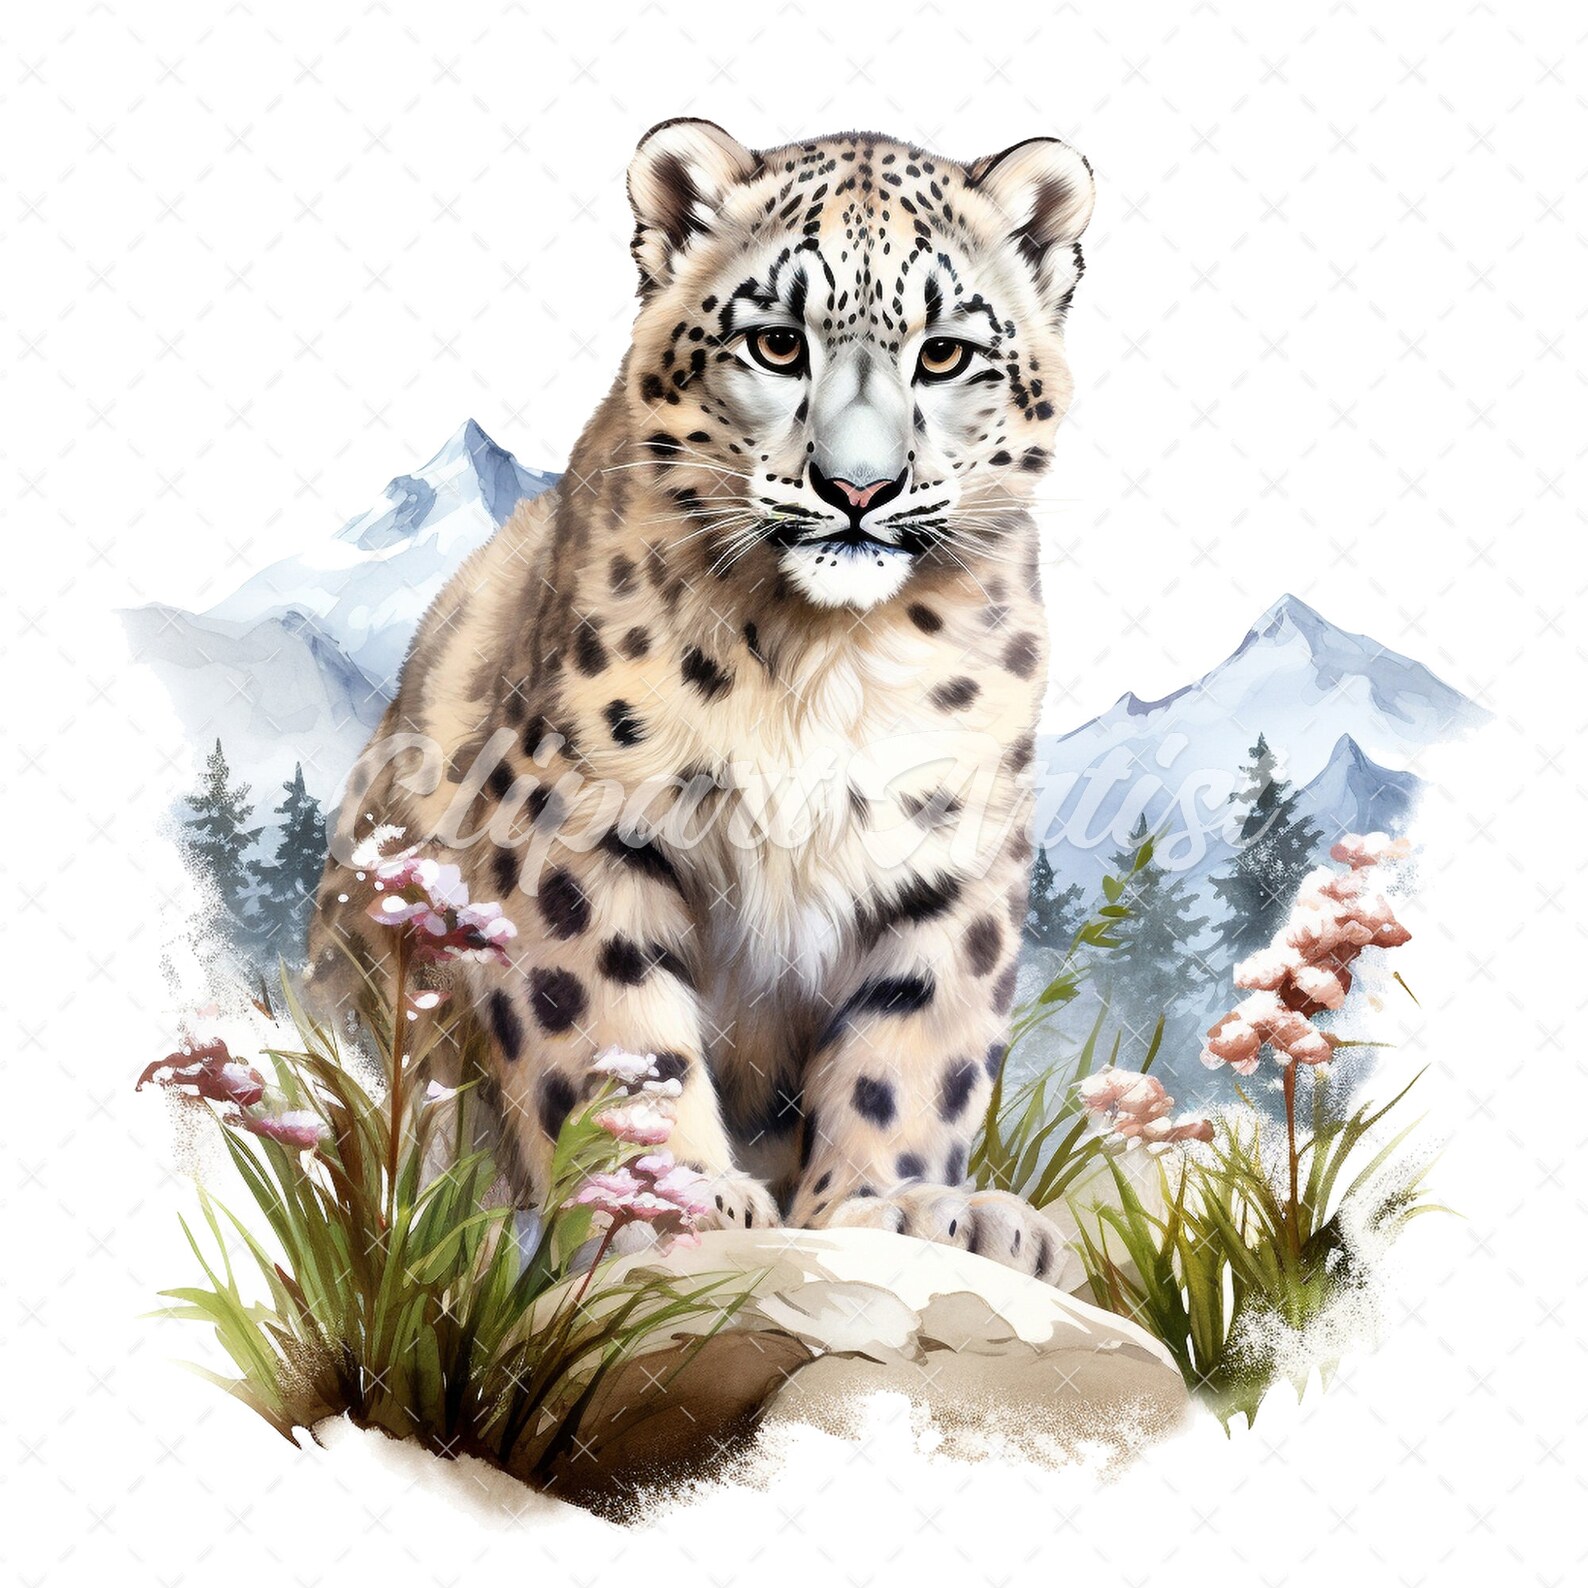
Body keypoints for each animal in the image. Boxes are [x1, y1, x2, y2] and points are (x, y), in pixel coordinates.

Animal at [307, 119, 1097, 1284]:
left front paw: (901, 1208)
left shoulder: (952, 855)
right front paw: (669, 1199)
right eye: (777, 343)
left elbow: (911, 1048)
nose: (855, 489)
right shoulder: (570, 821)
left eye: (946, 352)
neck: (828, 659)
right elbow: (611, 1030)